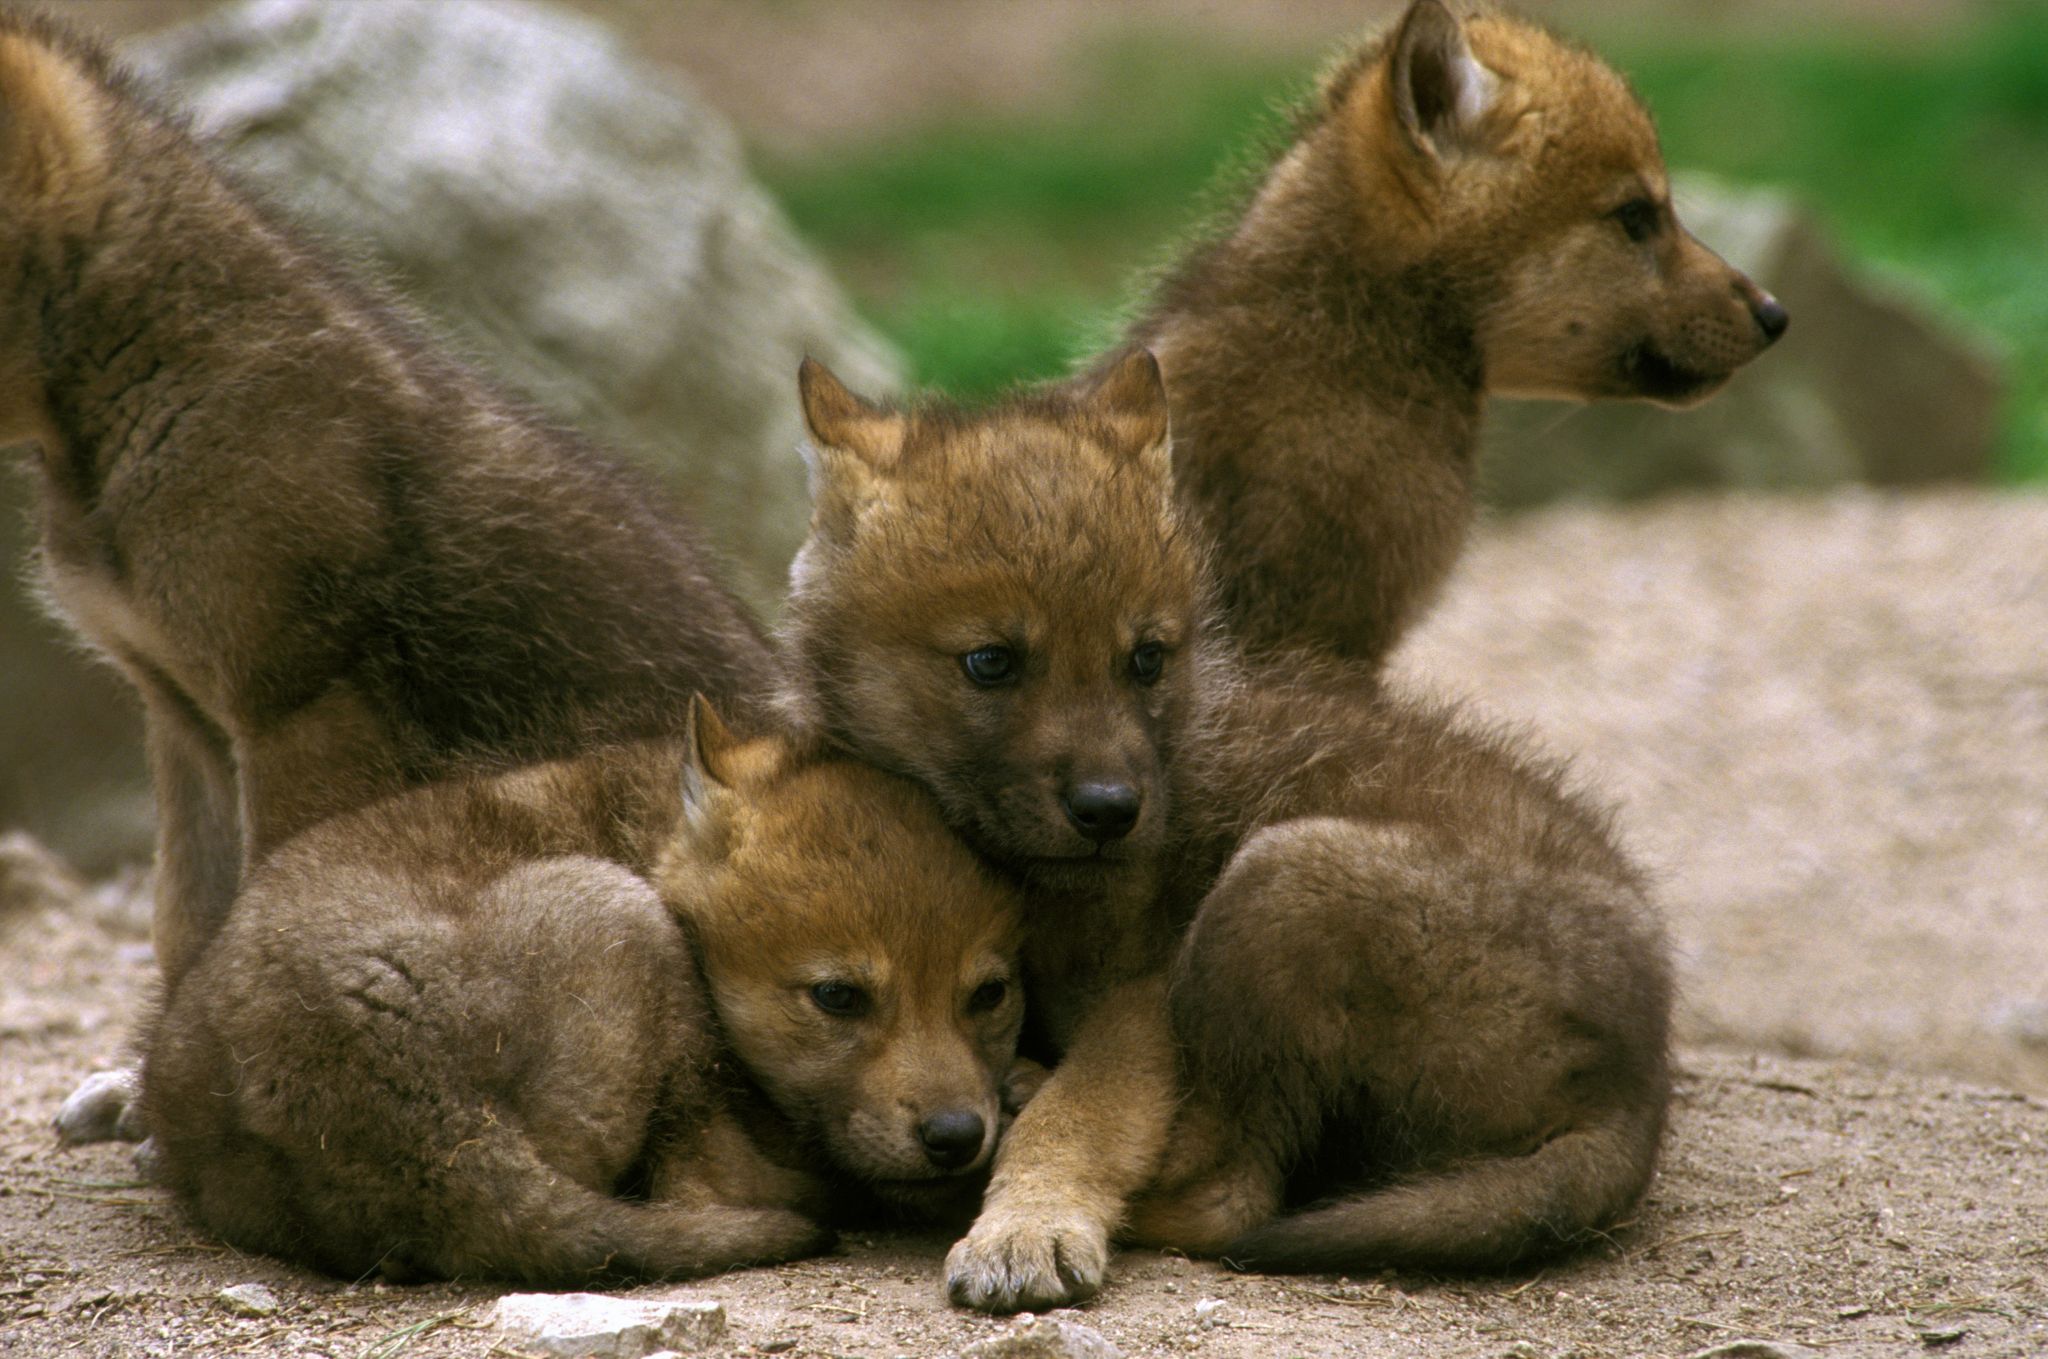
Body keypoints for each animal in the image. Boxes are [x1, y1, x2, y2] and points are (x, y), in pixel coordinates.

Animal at [143, 700, 1028, 1283]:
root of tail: (430, 1138)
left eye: (990, 995)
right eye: (838, 997)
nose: (956, 1135)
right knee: (712, 1188)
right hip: (628, 924)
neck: (645, 832)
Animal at [784, 352, 1669, 1308]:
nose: (1111, 809)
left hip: (1279, 877)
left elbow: (1079, 1118)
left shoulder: (1145, 996)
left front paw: (1028, 1227)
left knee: (1234, 1196)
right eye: (991, 662)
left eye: (1146, 658)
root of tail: (1642, 1082)